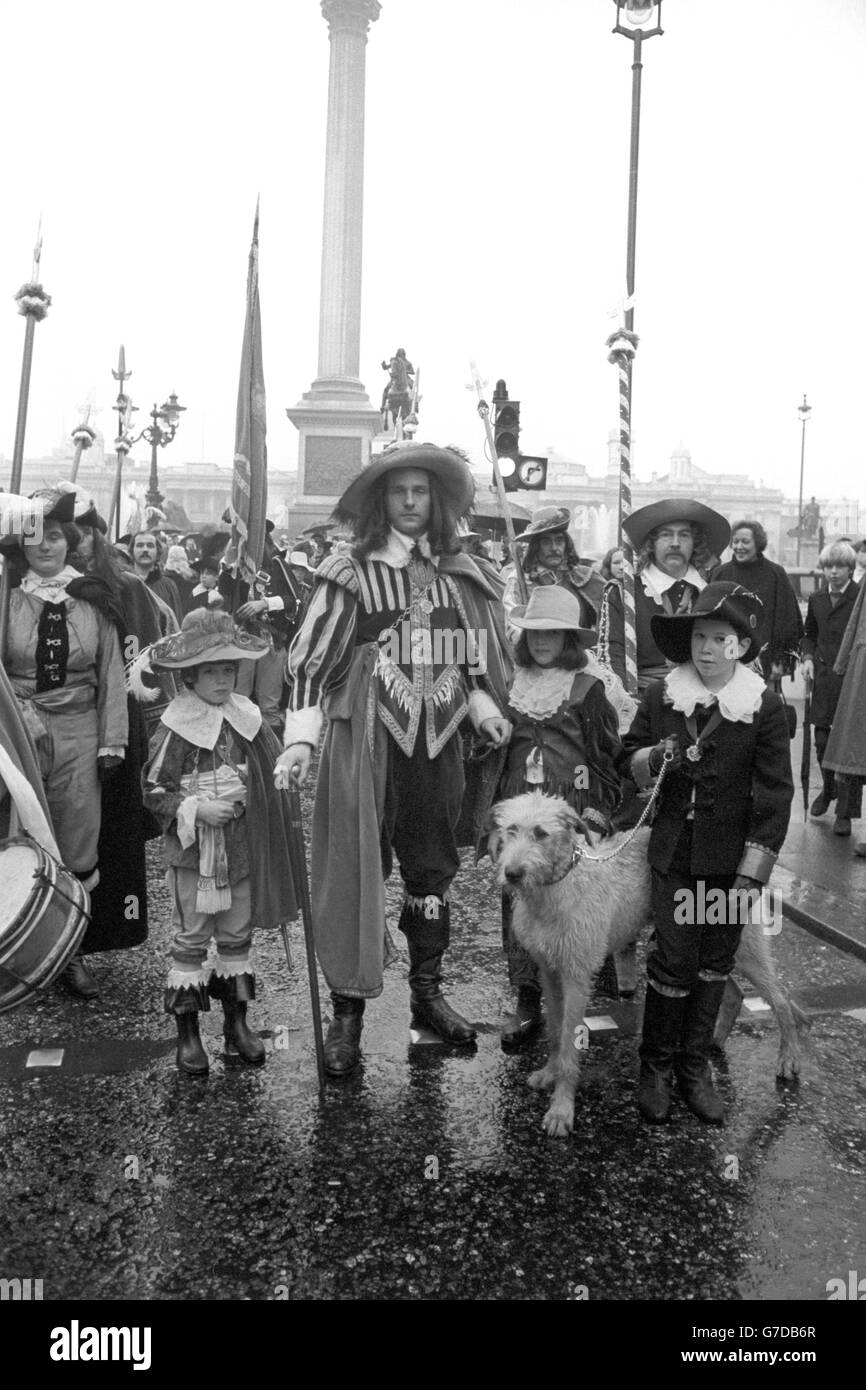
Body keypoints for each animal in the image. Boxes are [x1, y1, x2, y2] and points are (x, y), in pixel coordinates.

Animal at [489, 795, 806, 1139]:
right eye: (511, 829)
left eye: (541, 833)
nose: (511, 873)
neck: (556, 887)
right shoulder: (549, 971)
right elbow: (555, 1031)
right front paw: (549, 1072)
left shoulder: (577, 975)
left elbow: (570, 1040)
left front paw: (561, 1109)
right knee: (731, 991)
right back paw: (714, 1041)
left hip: (743, 944)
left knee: (781, 999)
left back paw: (789, 1058)